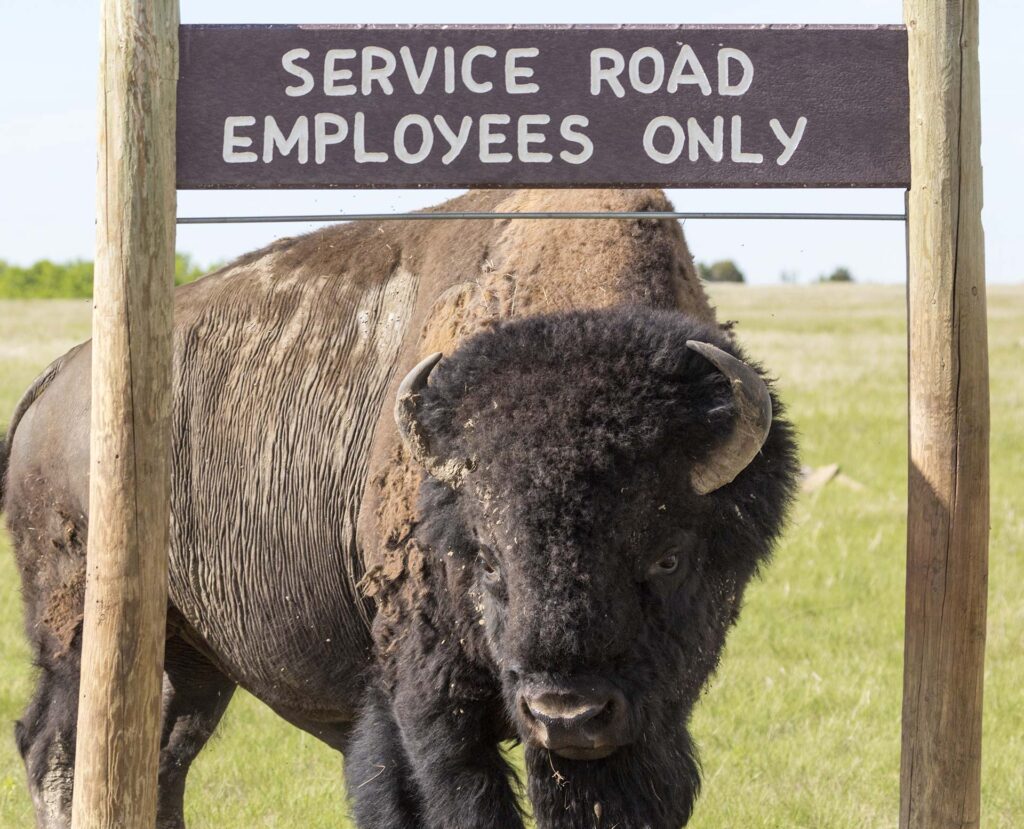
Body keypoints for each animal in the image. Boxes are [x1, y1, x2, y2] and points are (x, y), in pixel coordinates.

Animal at [1, 189, 797, 829]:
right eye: (485, 557)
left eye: (668, 555)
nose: (566, 712)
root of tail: (54, 381)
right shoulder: (427, 698)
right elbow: (448, 796)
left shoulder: (642, 716)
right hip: (77, 627)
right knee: (56, 745)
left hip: (191, 655)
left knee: (162, 751)